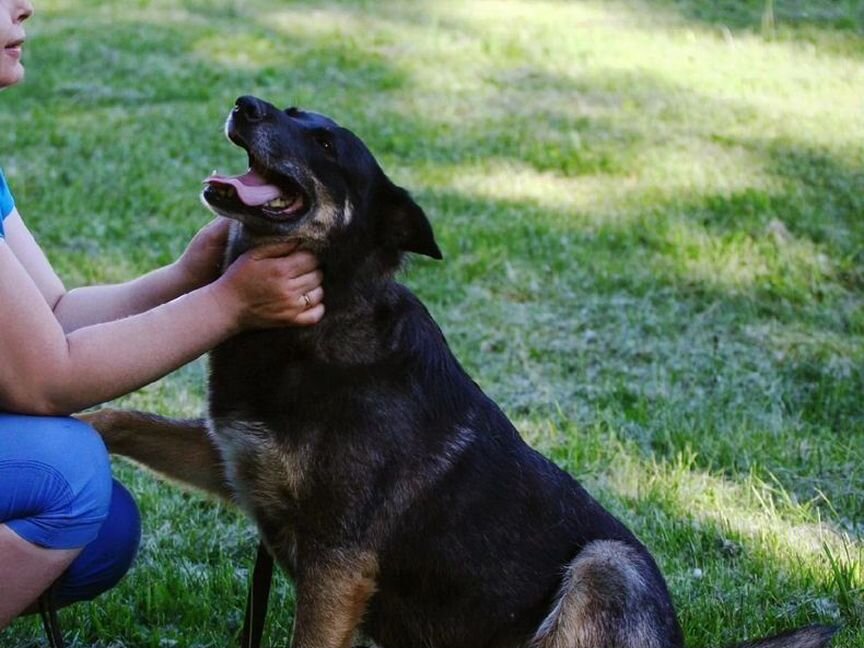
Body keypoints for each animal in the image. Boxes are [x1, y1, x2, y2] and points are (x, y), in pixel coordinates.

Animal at [81, 96, 836, 648]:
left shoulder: (337, 561)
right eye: (289, 112)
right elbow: (121, 417)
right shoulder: (231, 463)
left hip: (605, 567)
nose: (245, 102)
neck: (322, 314)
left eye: (327, 146)